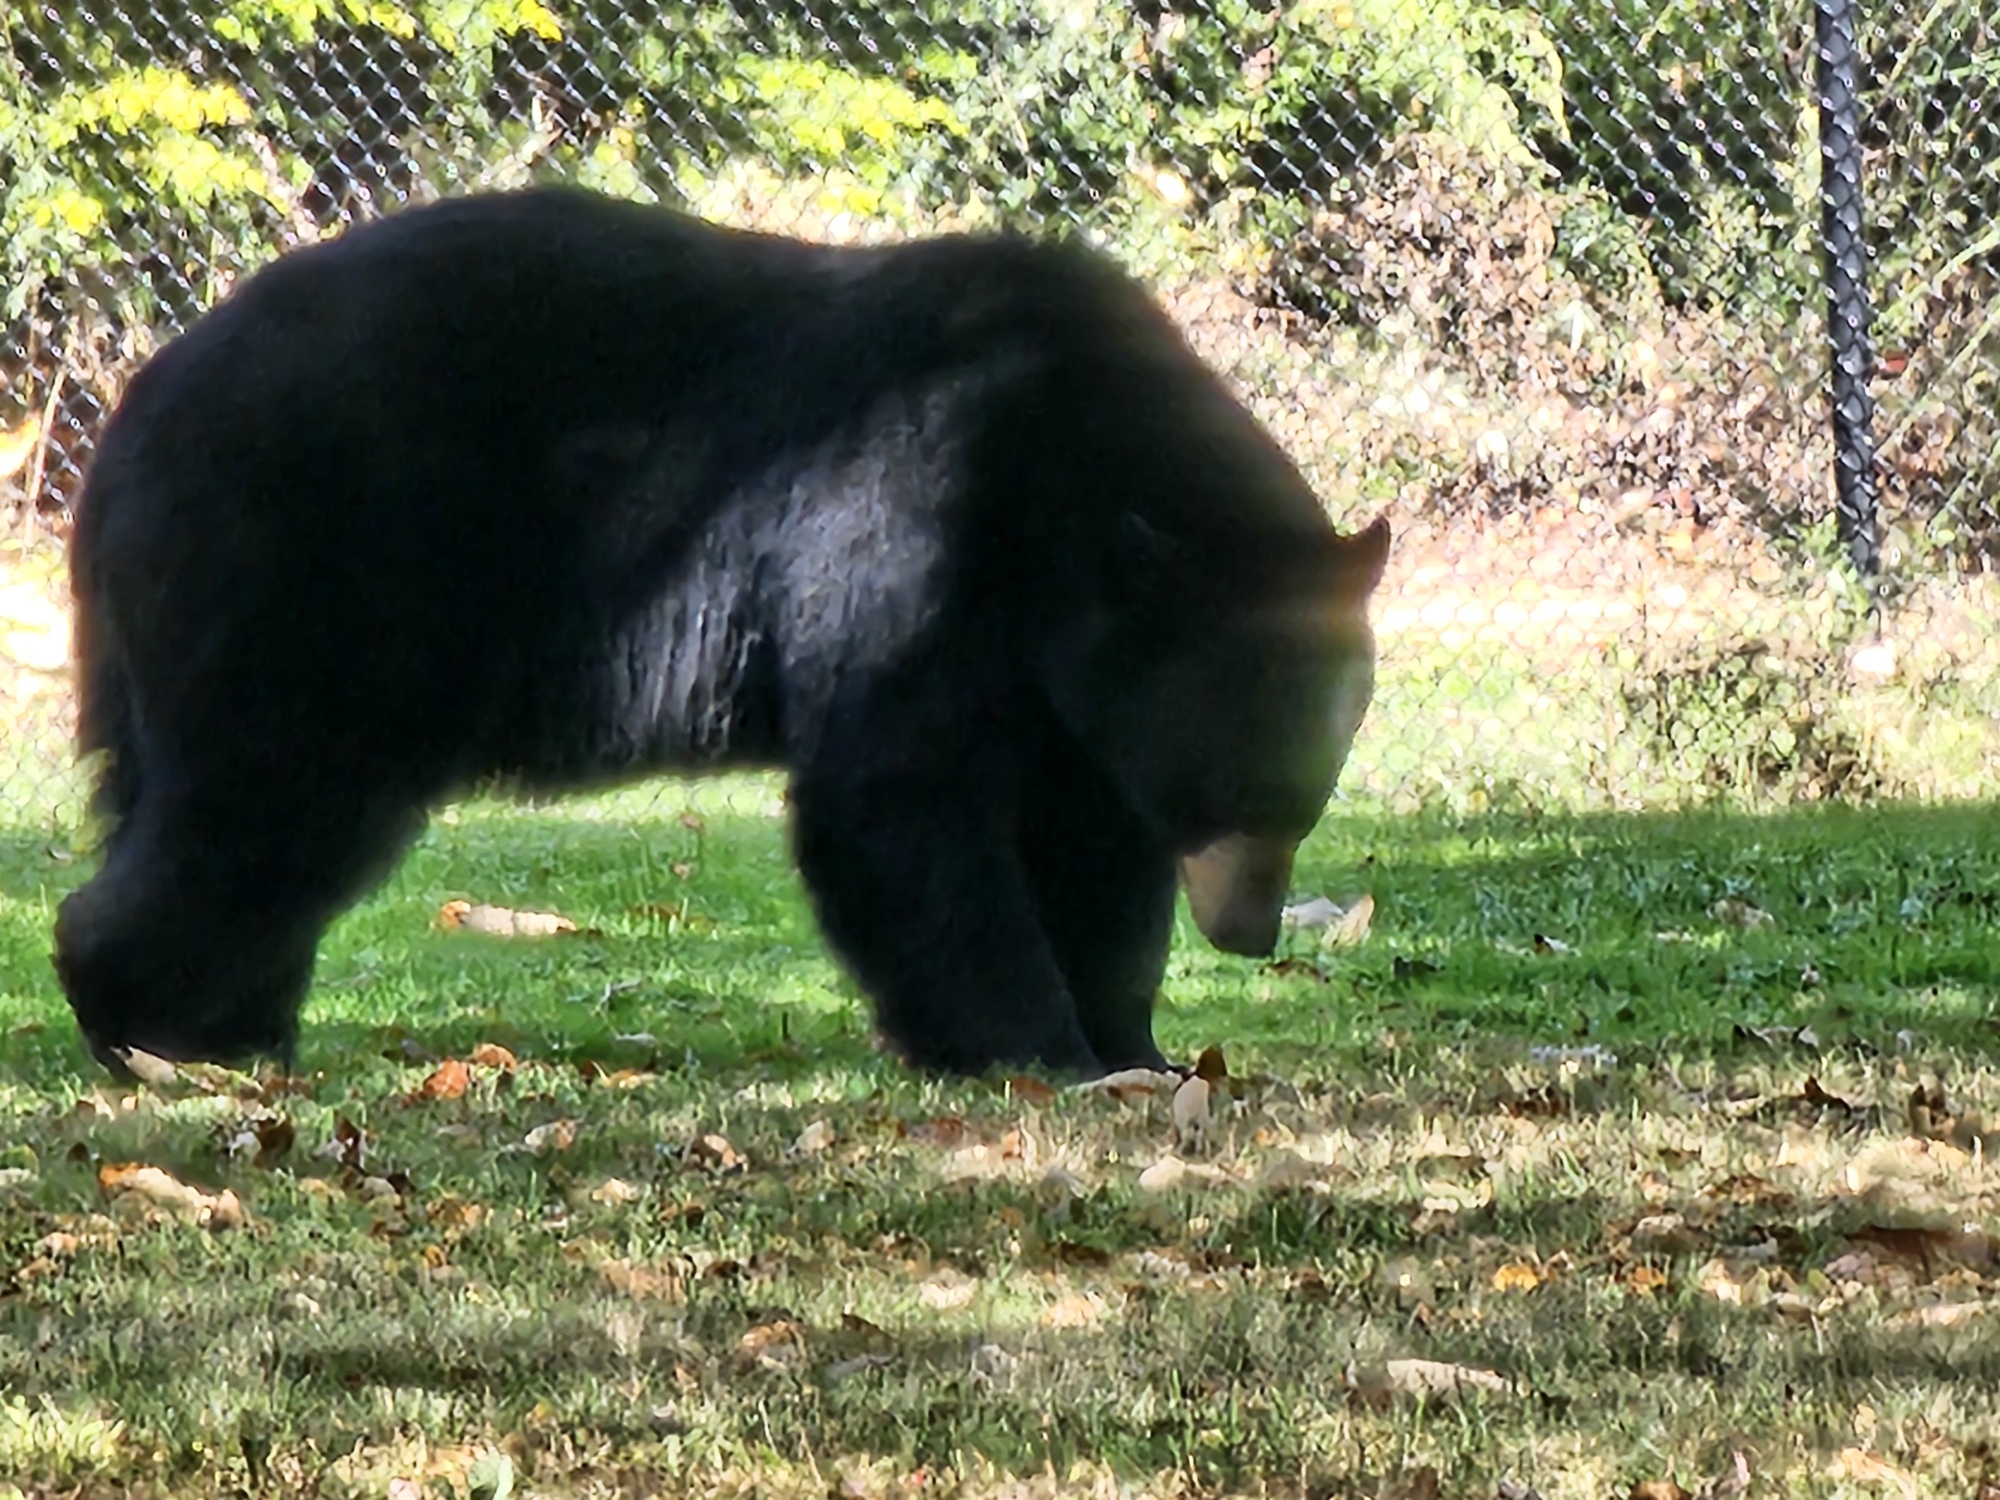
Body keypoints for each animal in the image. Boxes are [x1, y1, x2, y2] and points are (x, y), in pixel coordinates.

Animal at [51, 185, 1390, 1081]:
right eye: (1235, 796)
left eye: (1301, 798)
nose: (1251, 932)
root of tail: (127, 425)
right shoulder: (914, 536)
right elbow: (899, 803)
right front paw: (1035, 1047)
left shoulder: (1064, 681)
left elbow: (1087, 836)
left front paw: (1133, 1043)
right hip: (301, 571)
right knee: (266, 799)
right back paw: (142, 1016)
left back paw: (234, 1024)